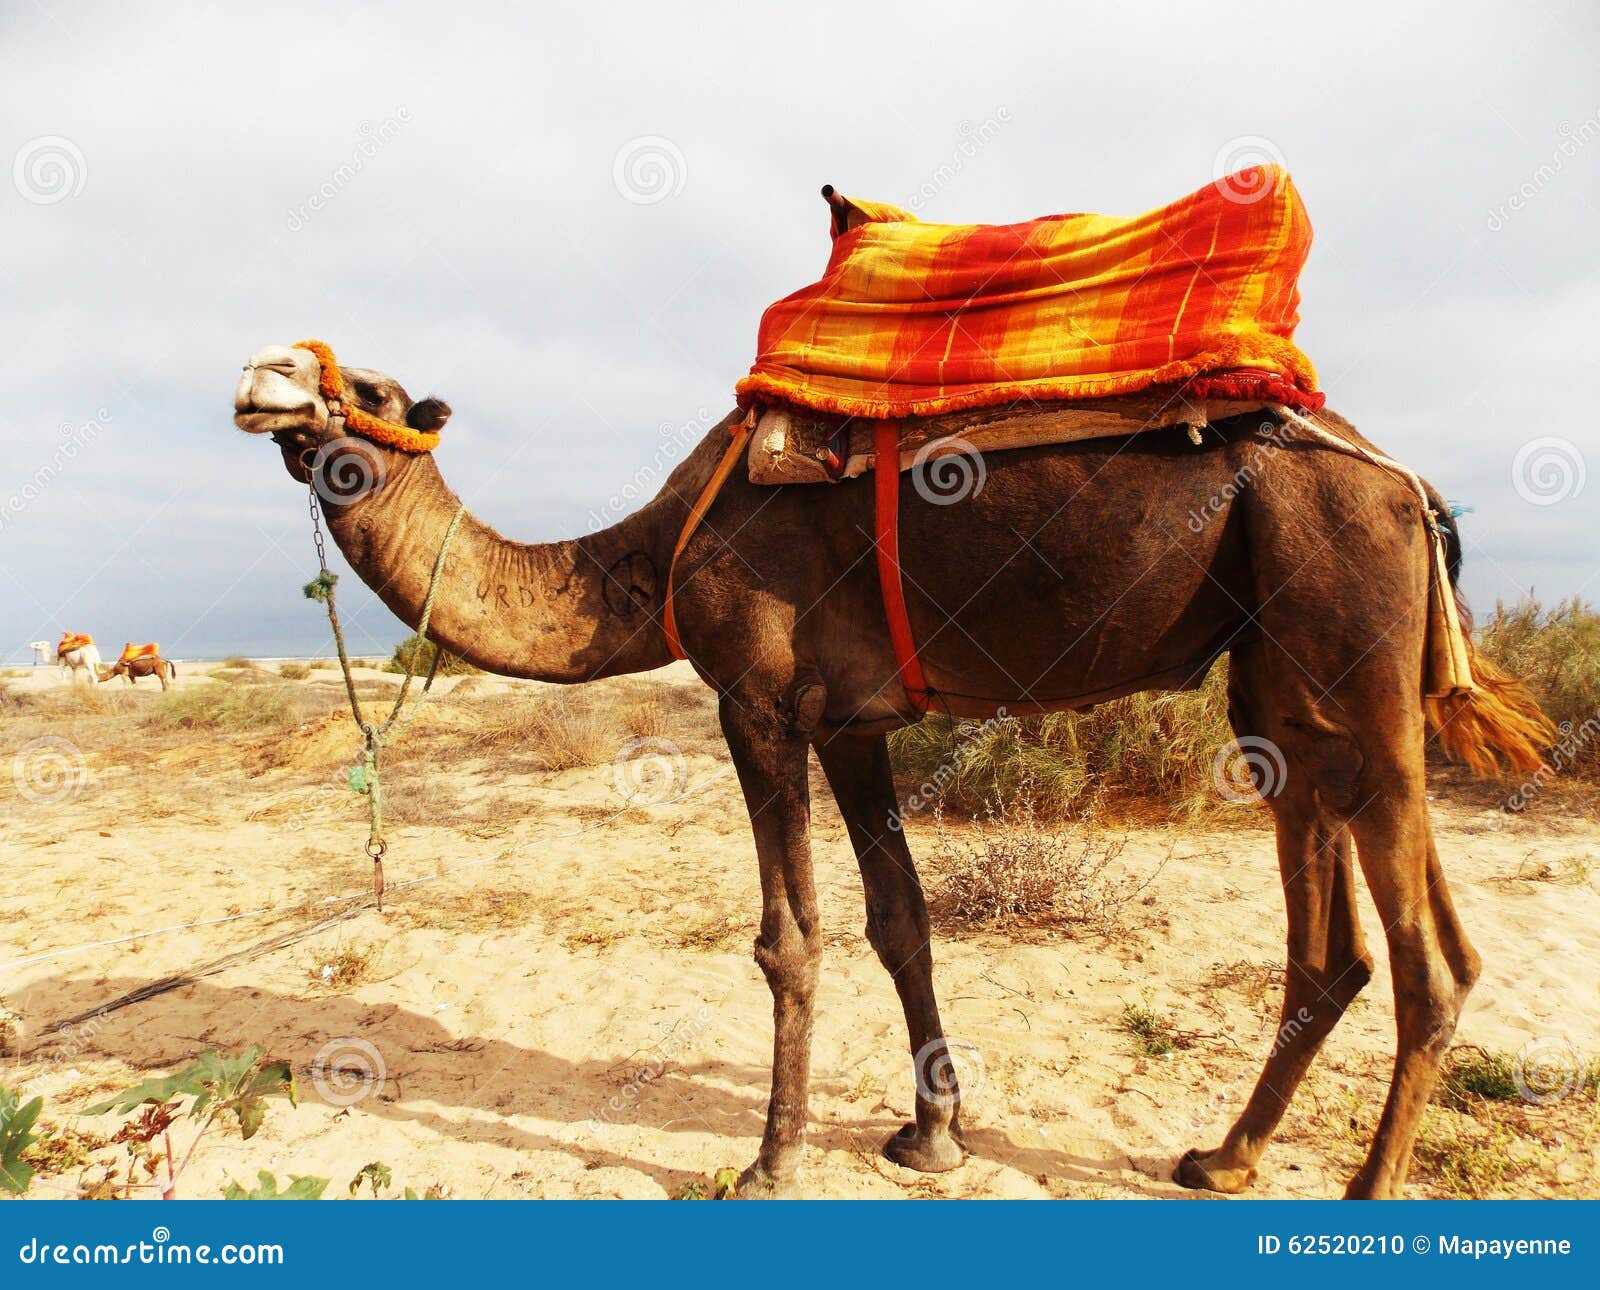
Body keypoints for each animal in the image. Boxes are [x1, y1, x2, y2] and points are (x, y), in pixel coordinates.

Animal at [234, 341, 1551, 1199]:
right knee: (1339, 943)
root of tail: (1410, 485)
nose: (262, 379)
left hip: (1350, 626)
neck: (653, 555)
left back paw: (1359, 1193)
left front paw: (770, 1161)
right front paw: (932, 1134)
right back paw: (1220, 1159)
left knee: (1429, 959)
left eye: (369, 390)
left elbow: (788, 938)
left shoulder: (758, 700)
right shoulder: (853, 723)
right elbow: (899, 919)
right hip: (1282, 676)